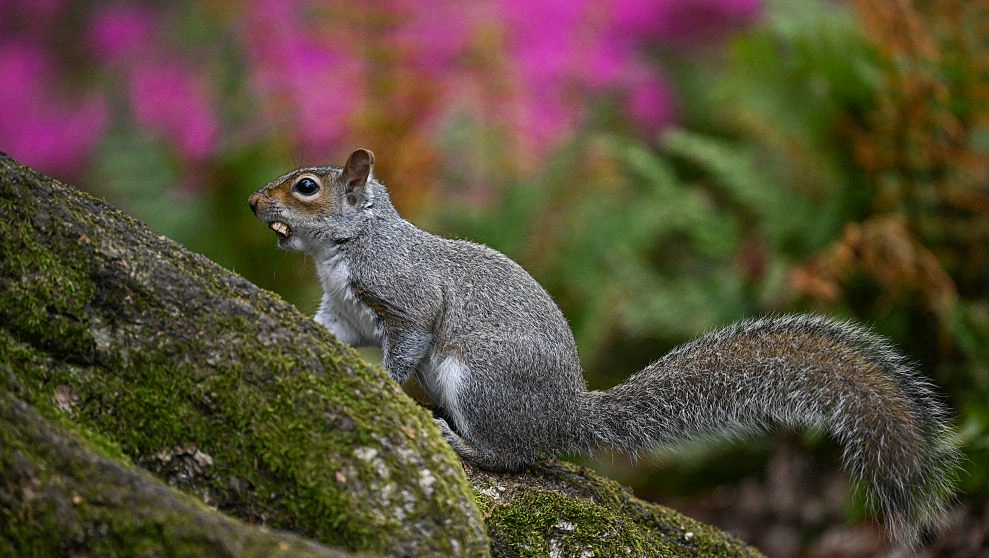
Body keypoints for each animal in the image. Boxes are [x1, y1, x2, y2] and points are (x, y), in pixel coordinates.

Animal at [249, 148, 960, 547]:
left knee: (514, 456)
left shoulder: (406, 298)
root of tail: (566, 415)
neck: (348, 246)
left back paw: (466, 443)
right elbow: (332, 331)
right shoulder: (344, 312)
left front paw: (390, 387)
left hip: (478, 381)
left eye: (307, 187)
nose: (255, 202)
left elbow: (409, 343)